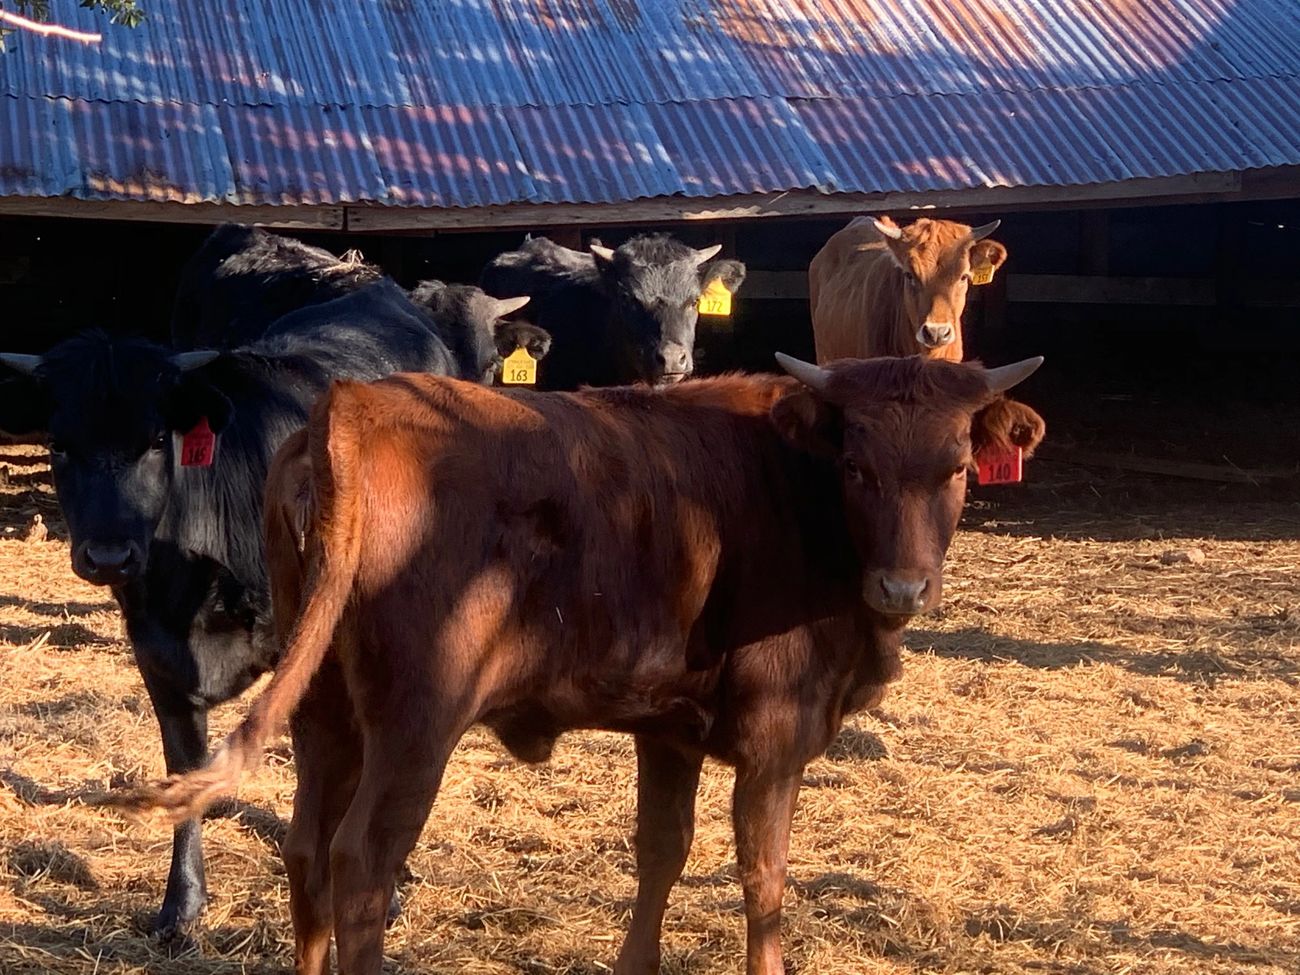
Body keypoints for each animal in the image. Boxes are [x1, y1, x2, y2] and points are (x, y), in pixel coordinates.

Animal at [0, 273, 547, 940]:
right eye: (59, 445)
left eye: (157, 439)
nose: (107, 554)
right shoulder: (158, 661)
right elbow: (185, 771)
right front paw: (181, 906)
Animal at [122, 352, 1045, 974]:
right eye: (856, 464)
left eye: (956, 467)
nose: (903, 586)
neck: (794, 488)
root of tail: (360, 407)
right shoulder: (777, 736)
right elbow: (765, 876)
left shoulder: (670, 728)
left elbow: (661, 850)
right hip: (415, 724)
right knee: (360, 864)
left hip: (326, 714)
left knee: (308, 852)